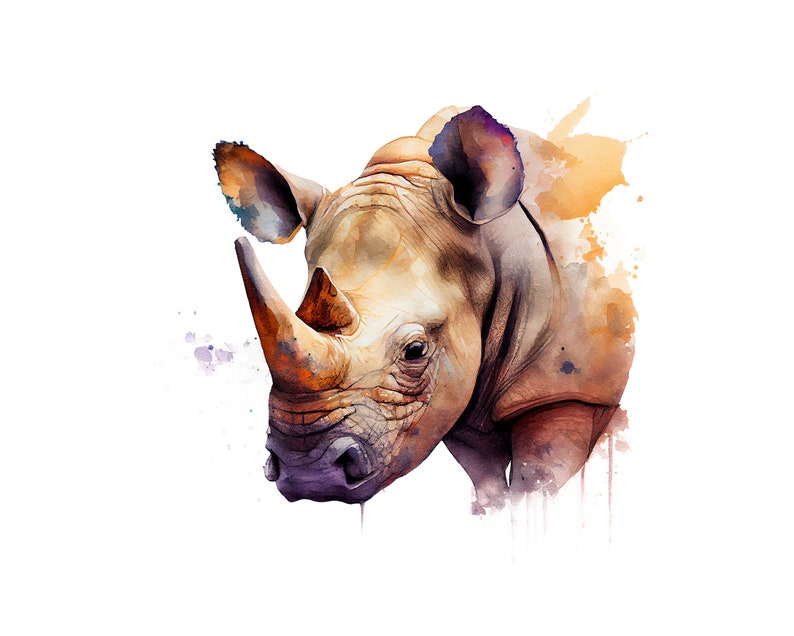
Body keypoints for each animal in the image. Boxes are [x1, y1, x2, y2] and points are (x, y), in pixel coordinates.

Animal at [213, 105, 635, 512]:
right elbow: (488, 483)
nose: (309, 474)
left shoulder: (566, 394)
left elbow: (538, 483)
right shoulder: (458, 392)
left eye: (415, 351)